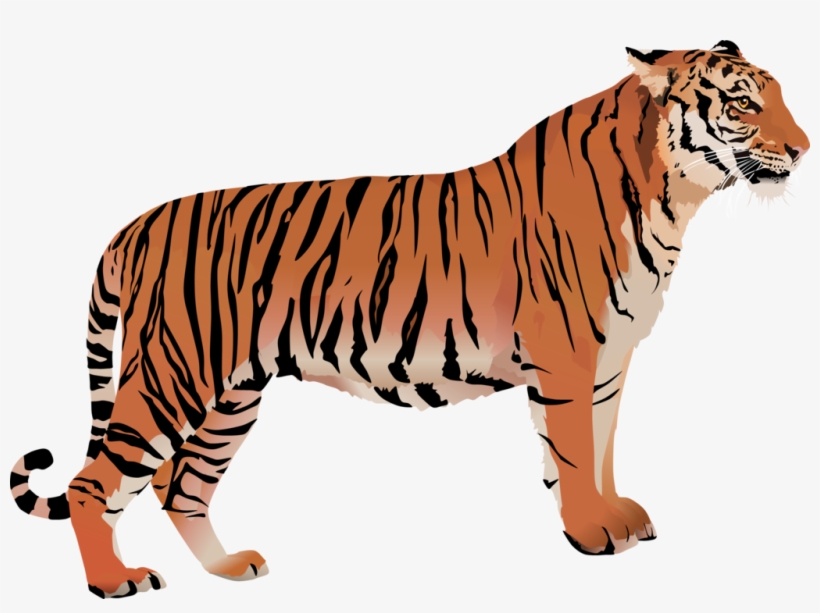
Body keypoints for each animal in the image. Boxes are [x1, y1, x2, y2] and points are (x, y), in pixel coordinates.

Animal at [9, 41, 809, 599]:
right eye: (743, 104)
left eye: (778, 96)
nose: (804, 149)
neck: (670, 198)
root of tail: (136, 224)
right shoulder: (570, 357)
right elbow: (576, 451)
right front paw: (590, 532)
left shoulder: (613, 360)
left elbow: (605, 445)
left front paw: (618, 515)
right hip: (174, 373)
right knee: (94, 483)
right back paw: (113, 581)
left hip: (232, 395)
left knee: (181, 484)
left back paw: (229, 567)